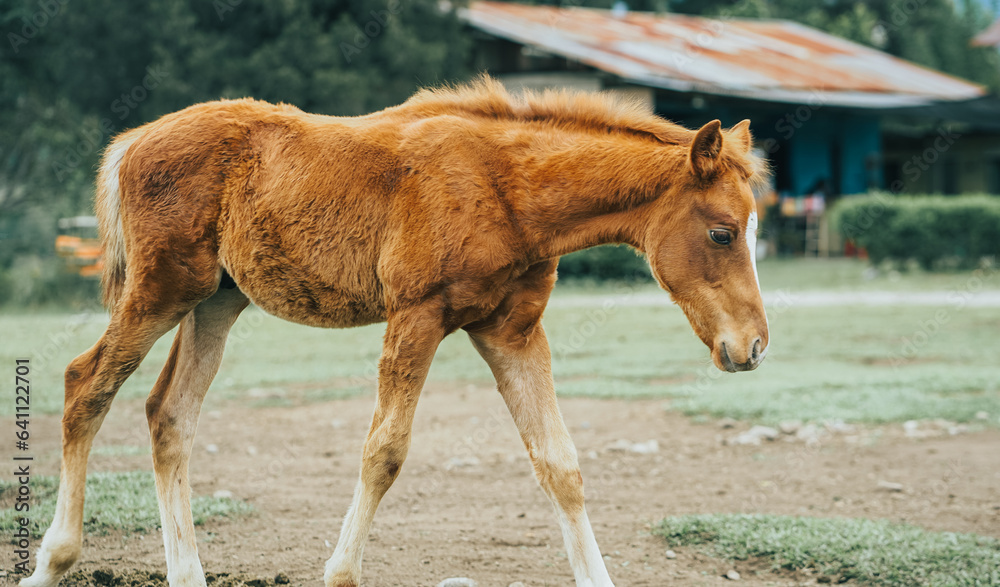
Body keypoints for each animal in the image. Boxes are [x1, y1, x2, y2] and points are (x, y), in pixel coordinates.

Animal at [22, 76, 768, 587]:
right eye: (722, 232)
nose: (753, 346)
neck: (506, 189)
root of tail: (130, 143)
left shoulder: (512, 331)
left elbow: (560, 463)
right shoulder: (417, 316)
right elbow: (384, 450)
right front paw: (341, 573)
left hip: (215, 302)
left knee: (168, 414)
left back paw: (185, 572)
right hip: (161, 292)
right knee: (85, 385)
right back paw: (53, 558)